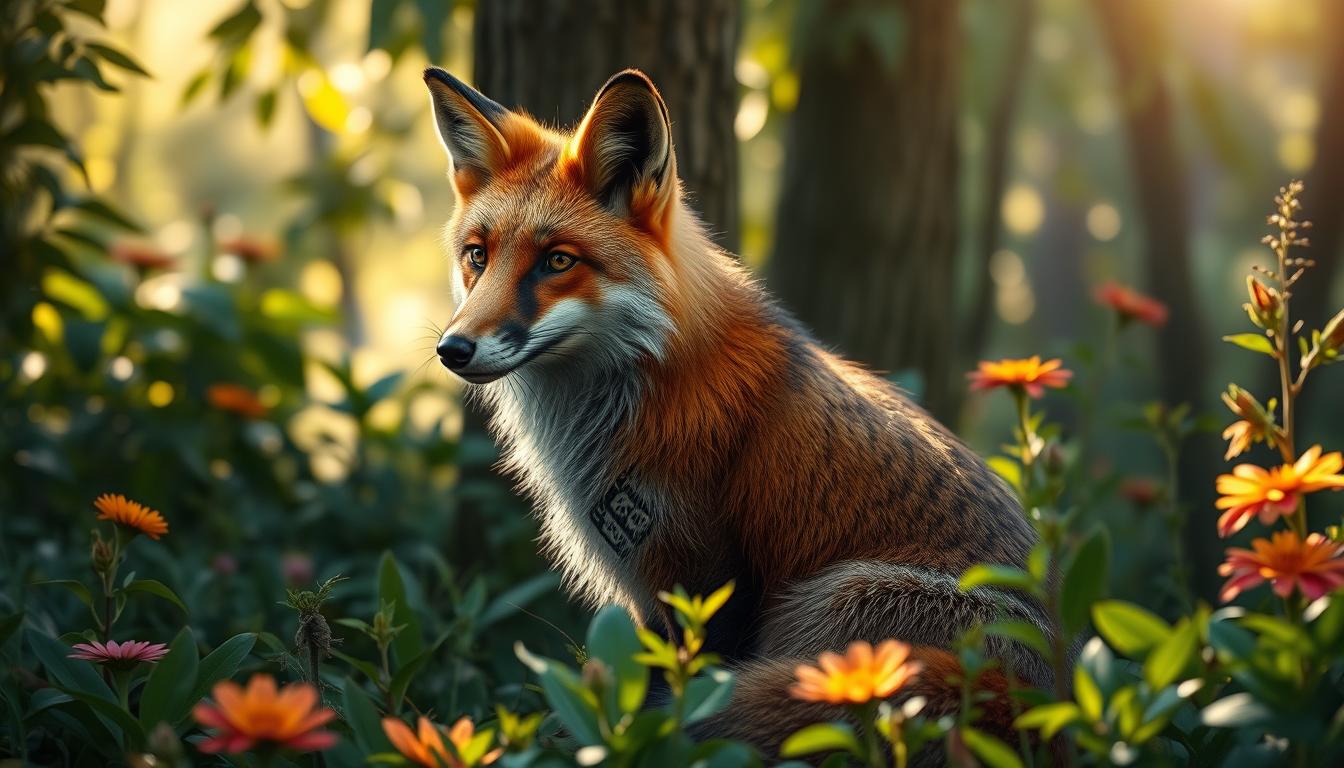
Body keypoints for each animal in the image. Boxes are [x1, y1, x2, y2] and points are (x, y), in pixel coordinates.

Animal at [421, 66, 1054, 760]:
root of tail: (1038, 696)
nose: (453, 349)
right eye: (477, 256)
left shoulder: (702, 585)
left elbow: (683, 697)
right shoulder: (652, 596)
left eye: (558, 260)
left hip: (834, 608)